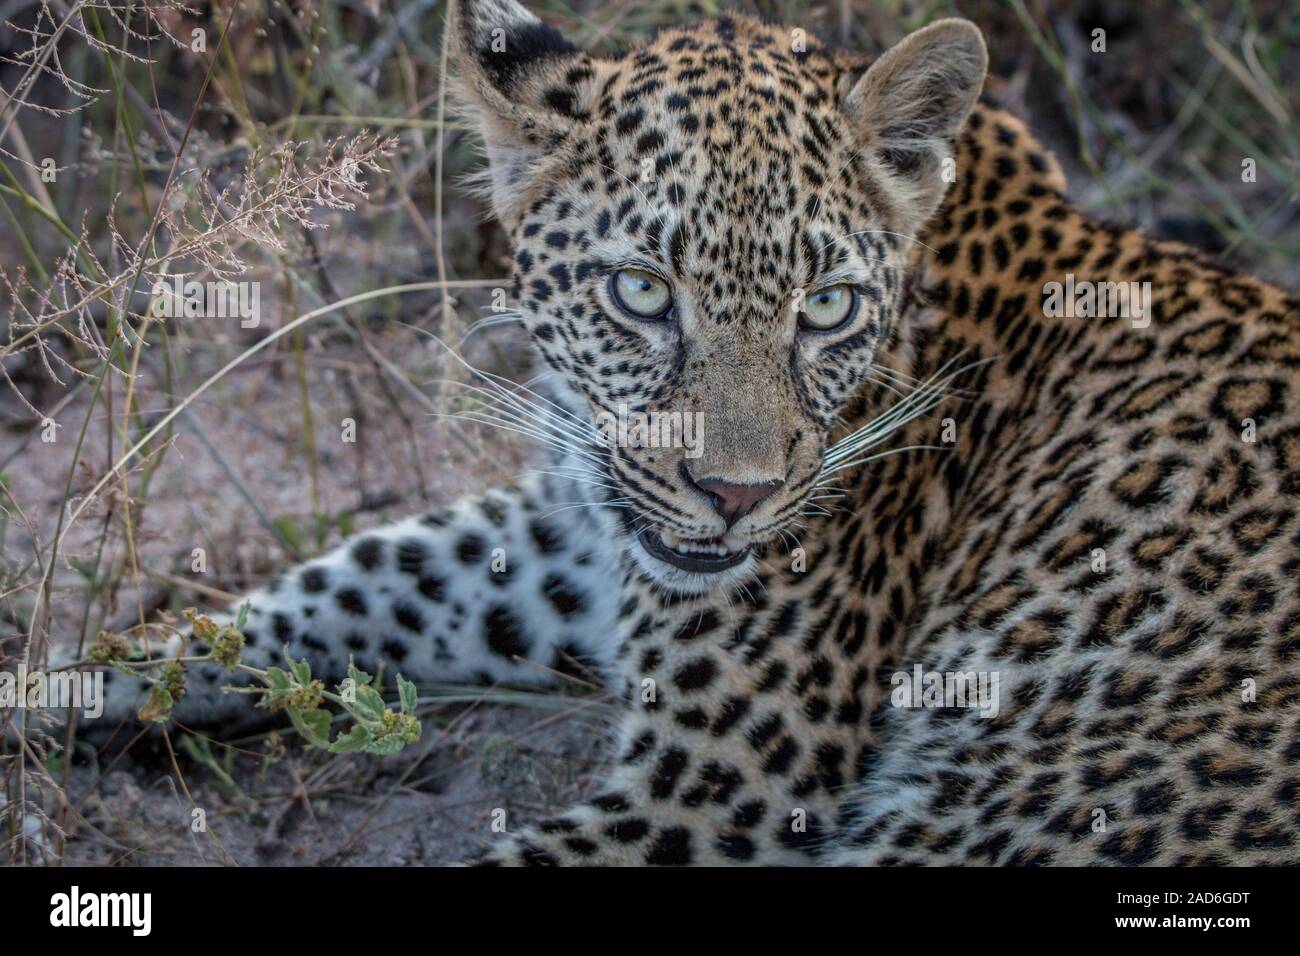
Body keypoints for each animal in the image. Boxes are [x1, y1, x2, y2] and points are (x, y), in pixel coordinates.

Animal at [78, 0, 1300, 865]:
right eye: (640, 291)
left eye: (826, 305)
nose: (737, 496)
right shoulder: (579, 530)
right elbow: (367, 575)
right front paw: (87, 678)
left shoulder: (720, 786)